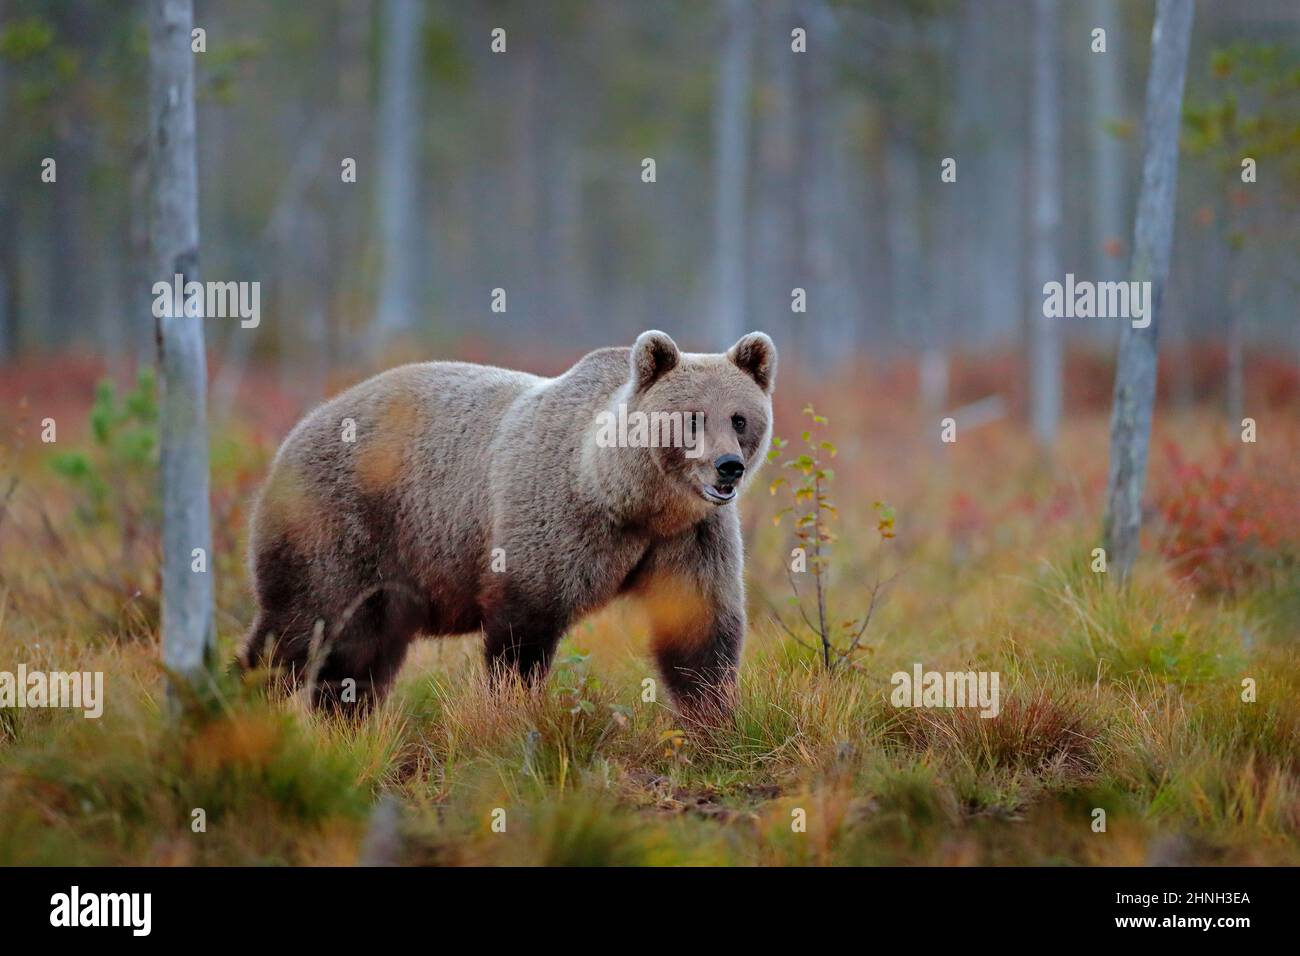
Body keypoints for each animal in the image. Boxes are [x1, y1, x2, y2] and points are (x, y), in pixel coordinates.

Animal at [238, 329, 776, 721]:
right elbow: (522, 633)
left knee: (358, 658)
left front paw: (713, 717)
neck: (628, 501)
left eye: (739, 418)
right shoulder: (551, 522)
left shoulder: (689, 538)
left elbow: (699, 628)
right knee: (300, 629)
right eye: (692, 418)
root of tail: (294, 434)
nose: (728, 467)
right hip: (341, 527)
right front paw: (512, 709)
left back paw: (343, 723)